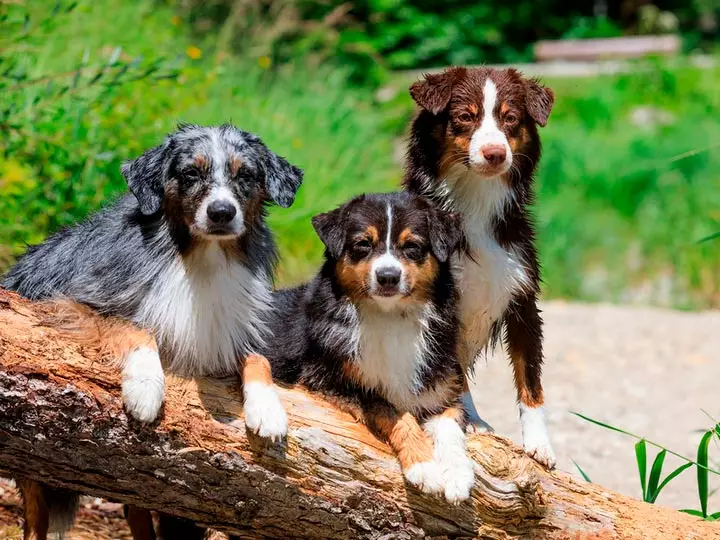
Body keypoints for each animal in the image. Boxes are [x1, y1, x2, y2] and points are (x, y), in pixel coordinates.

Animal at [3, 123, 300, 540]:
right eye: (190, 173)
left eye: (245, 176)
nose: (221, 212)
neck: (198, 256)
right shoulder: (74, 304)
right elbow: (137, 329)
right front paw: (145, 387)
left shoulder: (226, 335)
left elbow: (259, 358)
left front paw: (268, 408)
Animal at [268, 193, 476, 502]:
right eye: (363, 244)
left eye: (412, 246)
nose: (387, 276)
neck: (390, 317)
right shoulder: (328, 381)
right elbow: (392, 411)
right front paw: (424, 466)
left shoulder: (441, 390)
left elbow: (450, 426)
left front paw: (457, 474)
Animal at [404, 66, 556, 468]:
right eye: (465, 116)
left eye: (510, 118)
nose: (495, 153)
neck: (475, 203)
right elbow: (454, 374)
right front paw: (470, 419)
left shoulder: (522, 298)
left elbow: (530, 379)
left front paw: (541, 443)